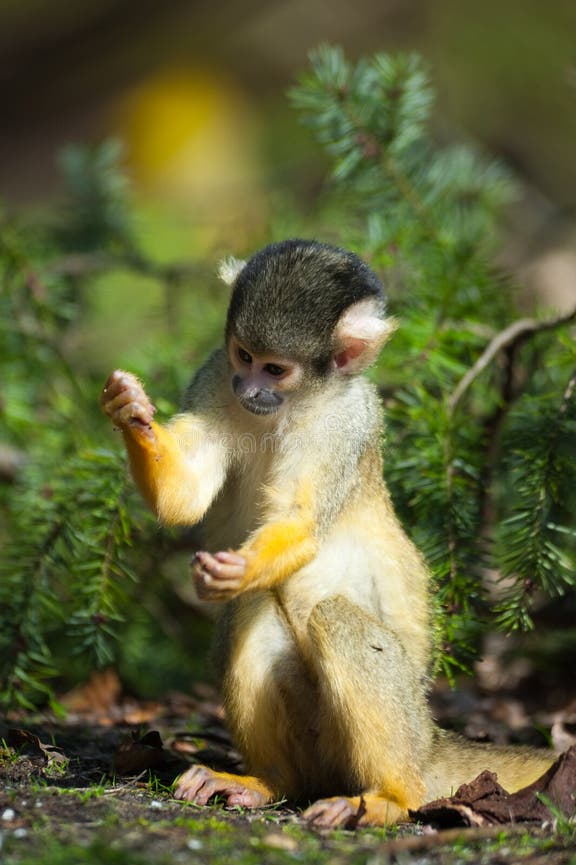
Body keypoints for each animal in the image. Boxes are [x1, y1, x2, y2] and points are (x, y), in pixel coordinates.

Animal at [100, 239, 555, 828]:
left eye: (275, 369)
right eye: (244, 356)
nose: (248, 388)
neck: (297, 402)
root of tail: (431, 743)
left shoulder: (345, 423)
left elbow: (301, 521)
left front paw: (240, 568)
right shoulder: (212, 375)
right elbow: (188, 494)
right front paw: (130, 410)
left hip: (405, 726)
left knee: (337, 620)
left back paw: (391, 798)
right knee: (251, 611)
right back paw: (268, 782)